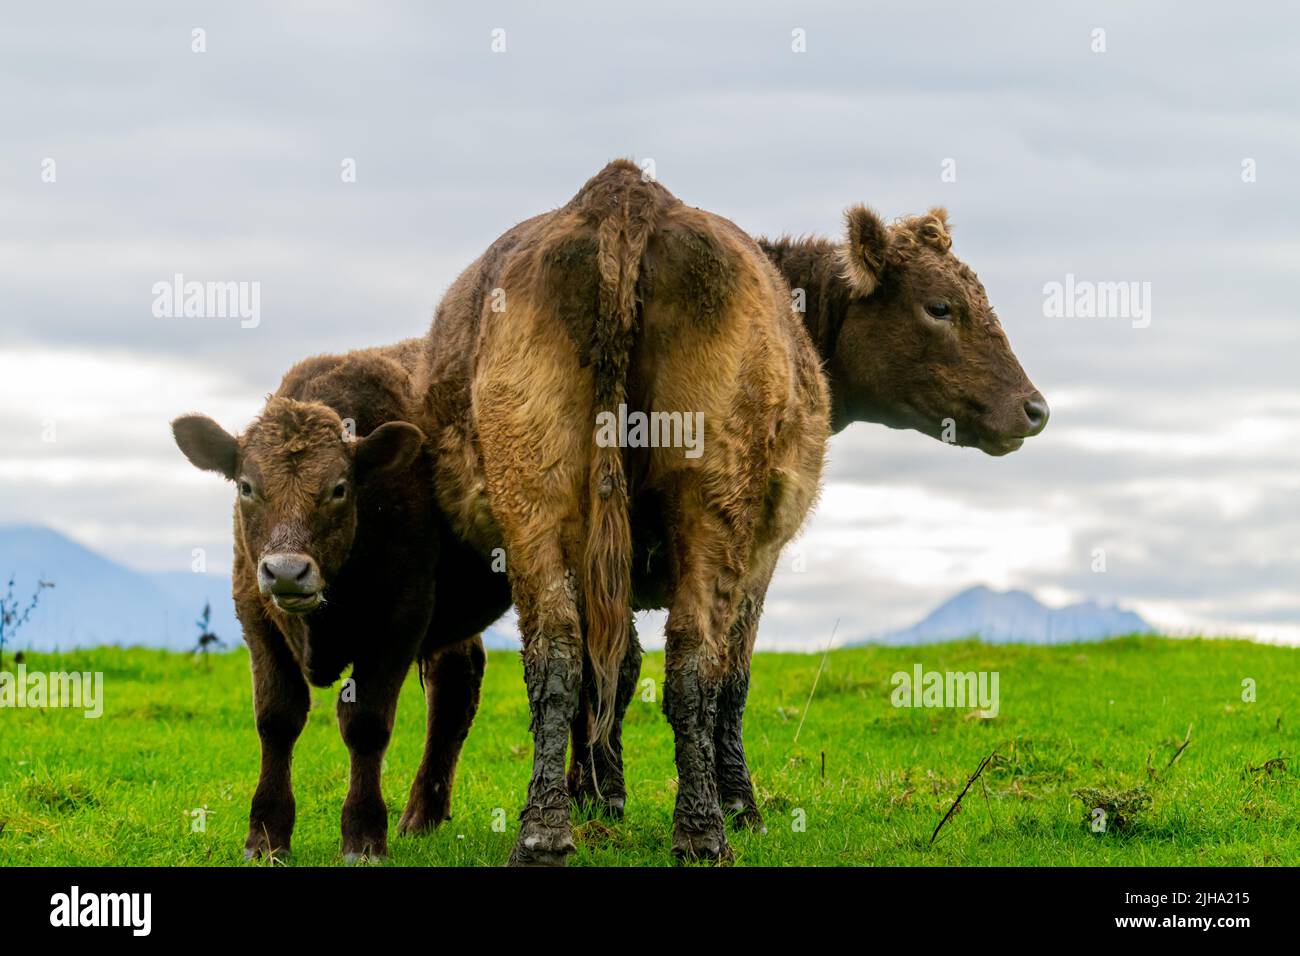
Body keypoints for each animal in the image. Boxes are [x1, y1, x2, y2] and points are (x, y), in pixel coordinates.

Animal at [171, 341, 510, 860]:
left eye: (338, 488)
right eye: (247, 486)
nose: (286, 571)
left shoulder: (403, 615)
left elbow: (366, 723)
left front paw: (364, 834)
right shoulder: (254, 609)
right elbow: (276, 718)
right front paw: (265, 835)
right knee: (456, 685)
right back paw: (421, 818)